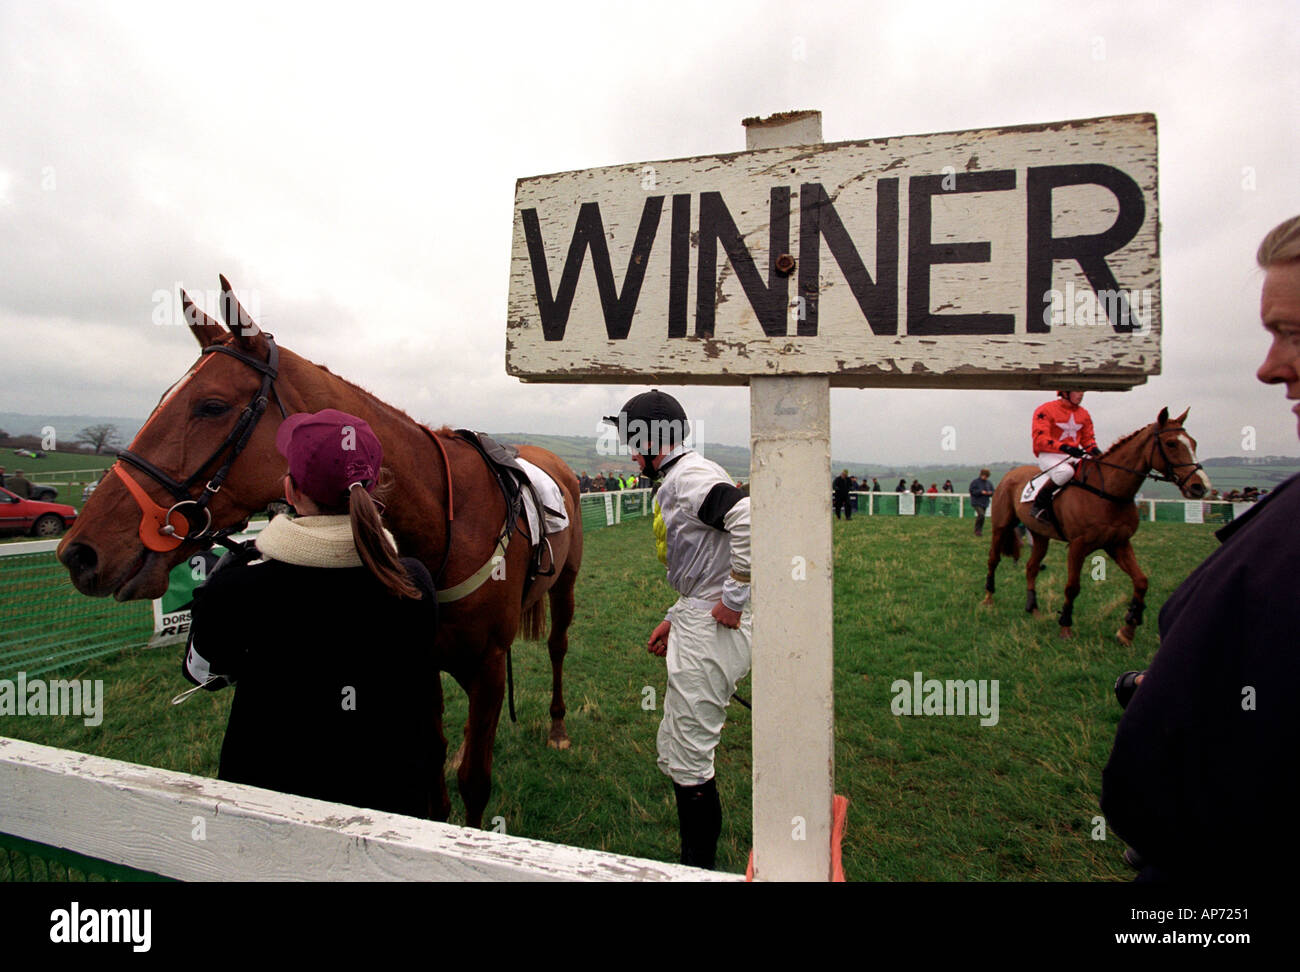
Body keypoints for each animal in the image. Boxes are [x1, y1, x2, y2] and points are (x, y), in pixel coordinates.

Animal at [56, 277, 584, 827]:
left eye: (212, 406)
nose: (80, 551)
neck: (444, 523)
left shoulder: (487, 665)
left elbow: (474, 781)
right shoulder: (423, 660)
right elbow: (434, 765)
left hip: (565, 587)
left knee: (558, 646)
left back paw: (558, 727)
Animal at [981, 407, 1209, 645]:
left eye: (1193, 443)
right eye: (1171, 443)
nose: (1199, 486)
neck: (1108, 492)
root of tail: (1010, 474)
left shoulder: (1118, 543)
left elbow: (1141, 581)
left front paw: (1128, 628)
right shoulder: (1078, 546)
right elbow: (1072, 587)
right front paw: (1065, 626)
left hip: (1040, 535)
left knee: (1031, 567)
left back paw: (1033, 608)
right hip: (1001, 526)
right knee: (993, 559)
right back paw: (988, 598)